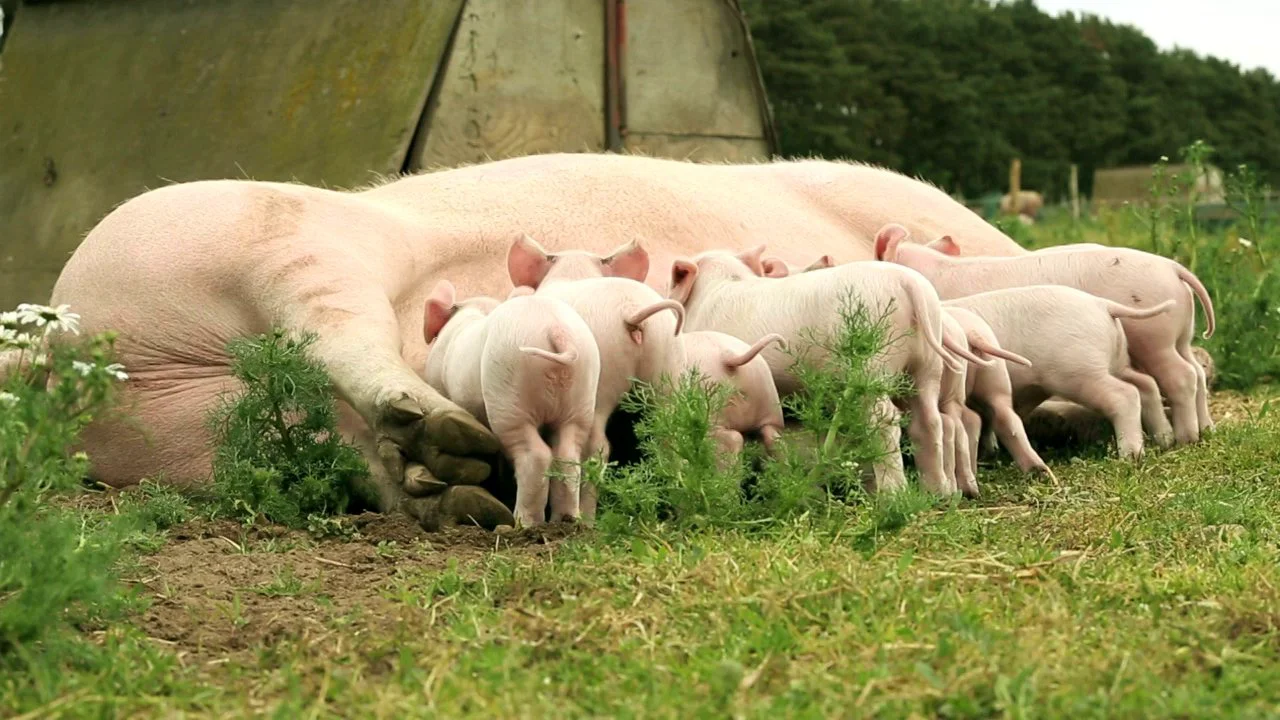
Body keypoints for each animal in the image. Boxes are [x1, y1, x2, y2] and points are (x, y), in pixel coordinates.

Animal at [423, 280, 600, 527]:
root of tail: (555, 329)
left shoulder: (437, 383)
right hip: (582, 397)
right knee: (567, 454)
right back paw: (565, 521)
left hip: (508, 398)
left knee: (535, 455)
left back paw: (523, 524)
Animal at [668, 243, 965, 495]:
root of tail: (909, 284)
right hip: (927, 366)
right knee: (929, 421)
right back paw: (939, 494)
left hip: (872, 364)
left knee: (885, 420)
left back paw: (892, 495)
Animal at [943, 286, 1175, 460]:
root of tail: (1103, 305)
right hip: (1115, 363)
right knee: (1146, 384)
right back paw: (1165, 440)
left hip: (1079, 371)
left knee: (1125, 395)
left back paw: (1131, 456)